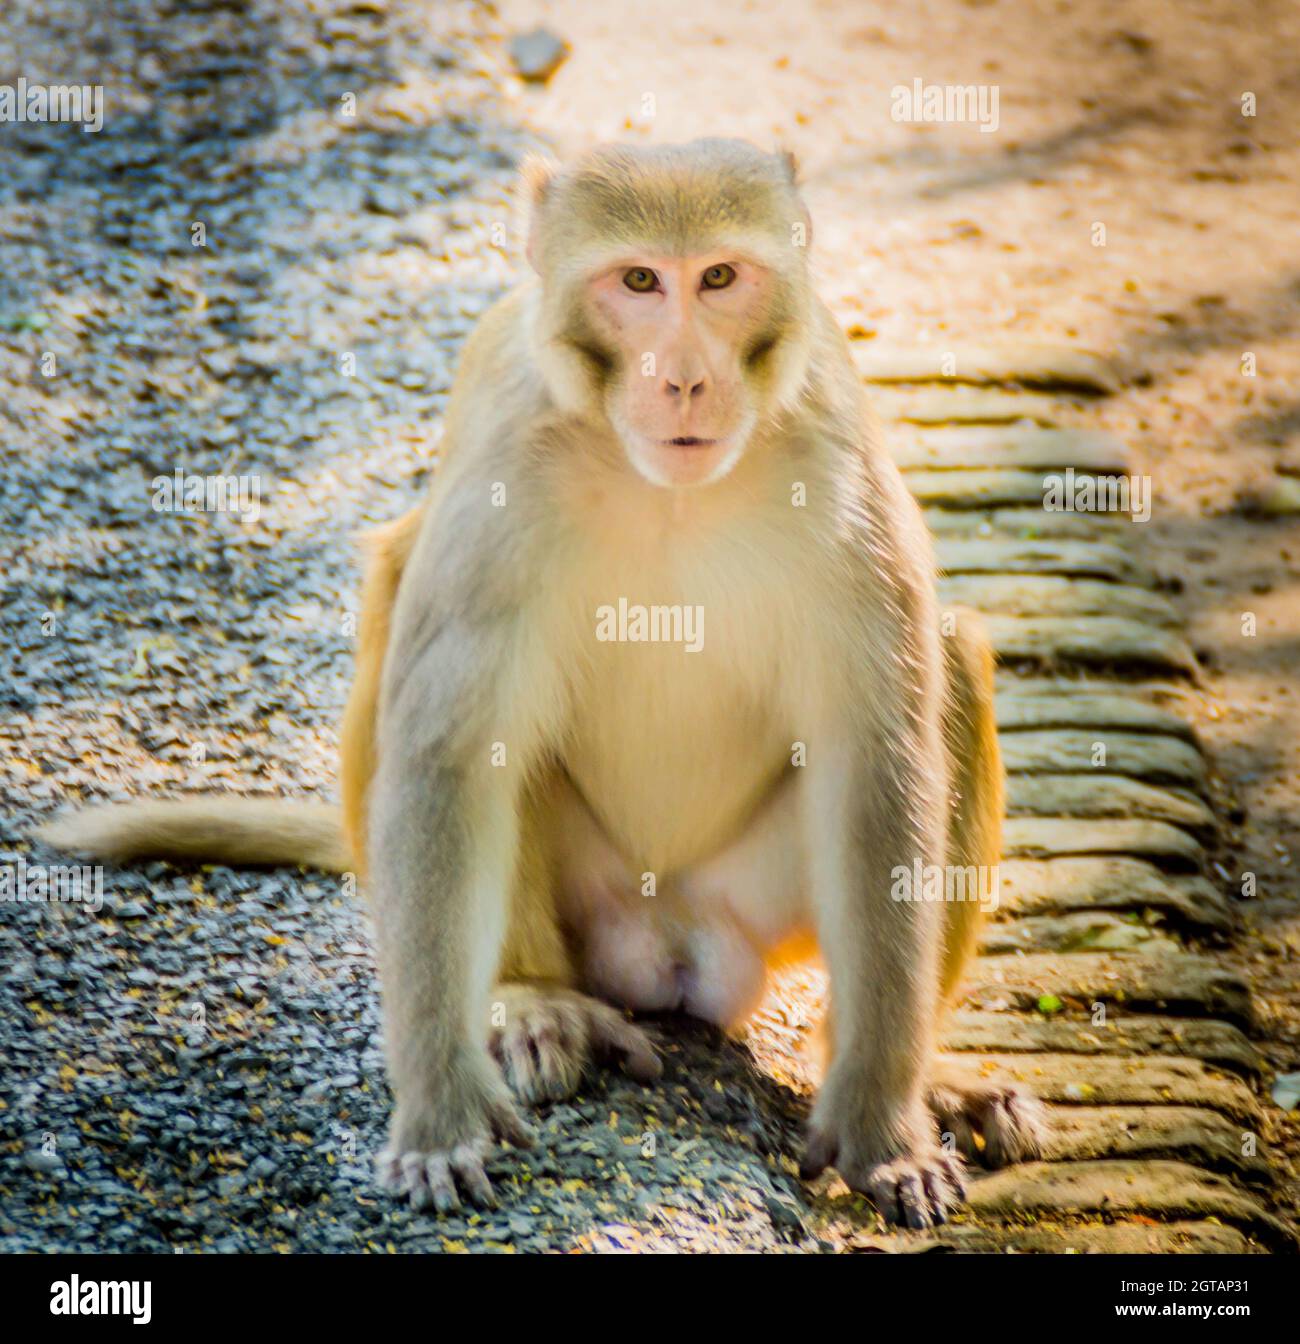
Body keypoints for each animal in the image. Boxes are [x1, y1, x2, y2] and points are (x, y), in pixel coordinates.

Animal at [39, 139, 1043, 1229]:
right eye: (638, 282)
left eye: (719, 277)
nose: (684, 379)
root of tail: (674, 950)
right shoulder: (509, 469)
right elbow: (446, 757)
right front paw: (440, 1113)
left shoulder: (835, 459)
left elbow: (876, 766)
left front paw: (880, 1128)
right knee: (419, 616)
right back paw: (530, 1000)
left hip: (756, 899)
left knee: (951, 659)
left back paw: (930, 1070)